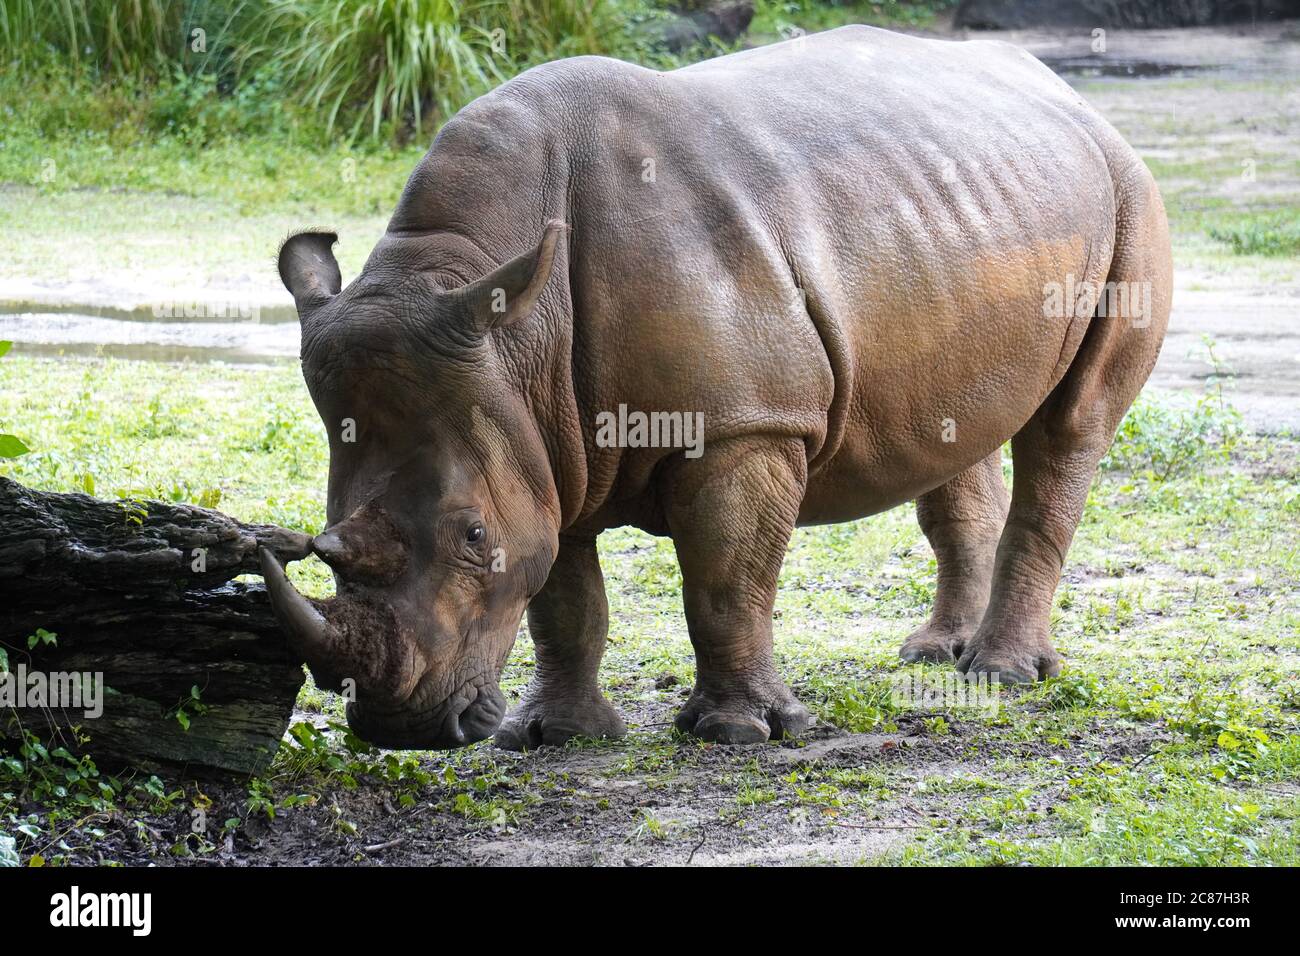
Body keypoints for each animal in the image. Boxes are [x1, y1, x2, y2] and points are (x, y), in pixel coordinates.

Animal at [263, 25, 1171, 749]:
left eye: (472, 537)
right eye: (323, 540)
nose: (403, 729)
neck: (515, 332)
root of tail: (1065, 93)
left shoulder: (743, 426)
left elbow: (725, 581)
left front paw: (740, 732)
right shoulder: (541, 434)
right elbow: (564, 591)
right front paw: (558, 735)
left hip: (1131, 193)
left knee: (1071, 428)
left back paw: (999, 676)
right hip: (957, 216)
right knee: (954, 427)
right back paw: (932, 652)